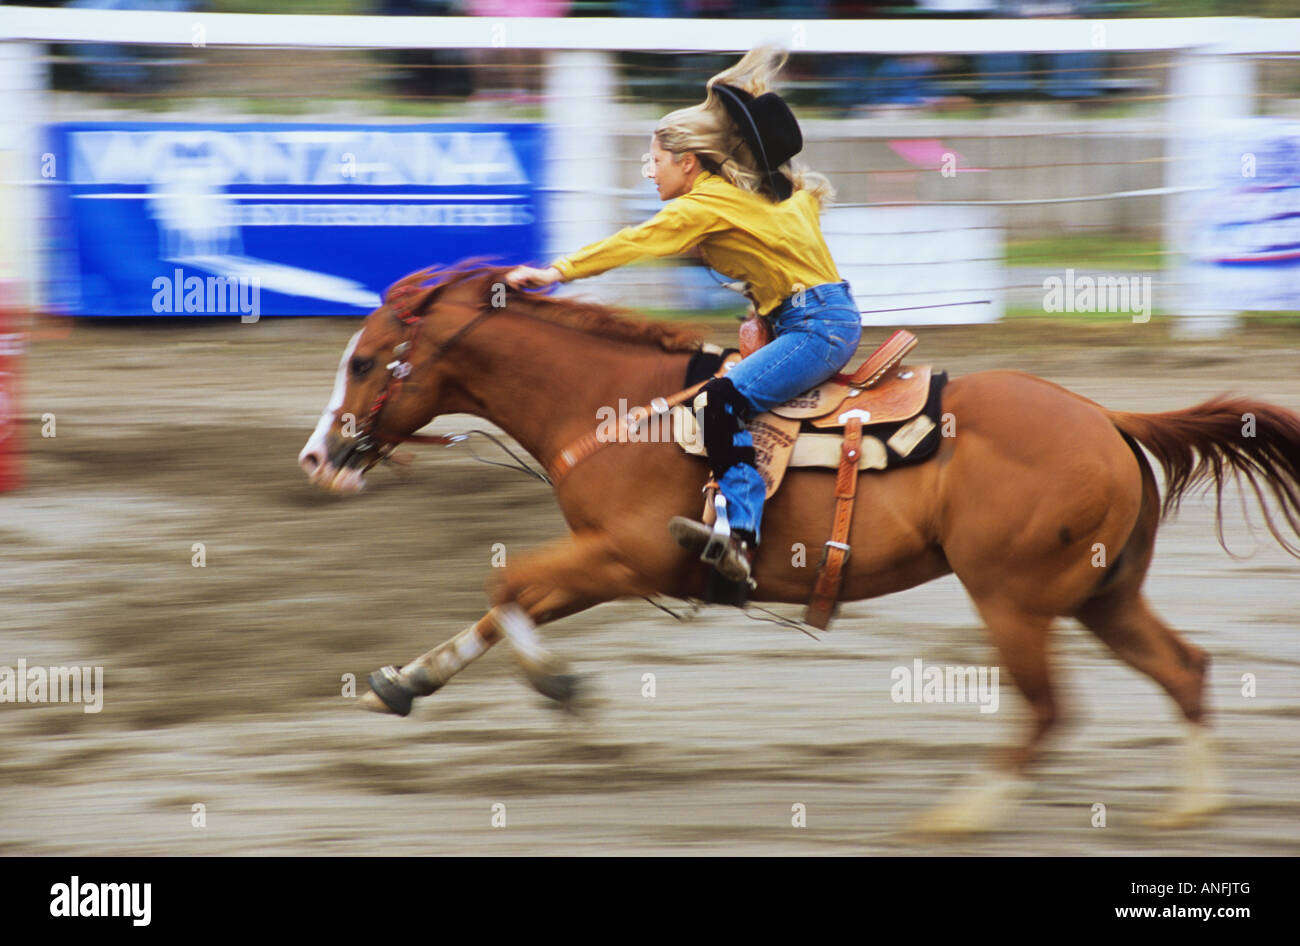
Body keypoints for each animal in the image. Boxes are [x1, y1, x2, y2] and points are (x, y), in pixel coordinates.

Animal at [297, 263, 1300, 832]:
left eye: (365, 361)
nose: (317, 457)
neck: (618, 407)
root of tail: (1107, 417)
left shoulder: (628, 557)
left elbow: (505, 584)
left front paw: (562, 688)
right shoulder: (602, 559)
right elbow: (501, 602)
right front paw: (407, 681)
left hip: (1014, 597)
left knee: (1049, 710)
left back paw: (958, 816)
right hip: (1103, 593)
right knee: (1185, 668)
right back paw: (1190, 805)